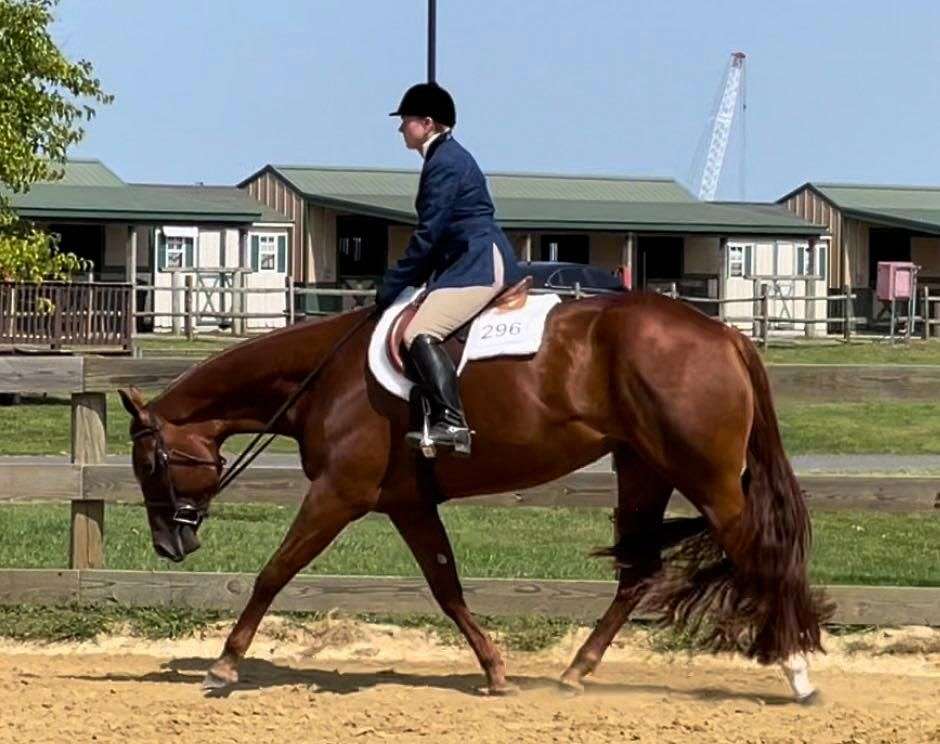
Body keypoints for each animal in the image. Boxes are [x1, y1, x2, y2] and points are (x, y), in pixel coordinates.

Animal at [118, 290, 831, 702]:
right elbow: (447, 588)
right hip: (643, 468)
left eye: (148, 464)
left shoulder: (339, 494)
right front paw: (495, 671)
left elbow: (274, 572)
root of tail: (725, 335)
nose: (168, 544)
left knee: (758, 557)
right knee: (638, 573)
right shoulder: (407, 504)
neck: (325, 377)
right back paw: (576, 671)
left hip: (705, 478)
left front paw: (224, 666)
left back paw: (797, 674)